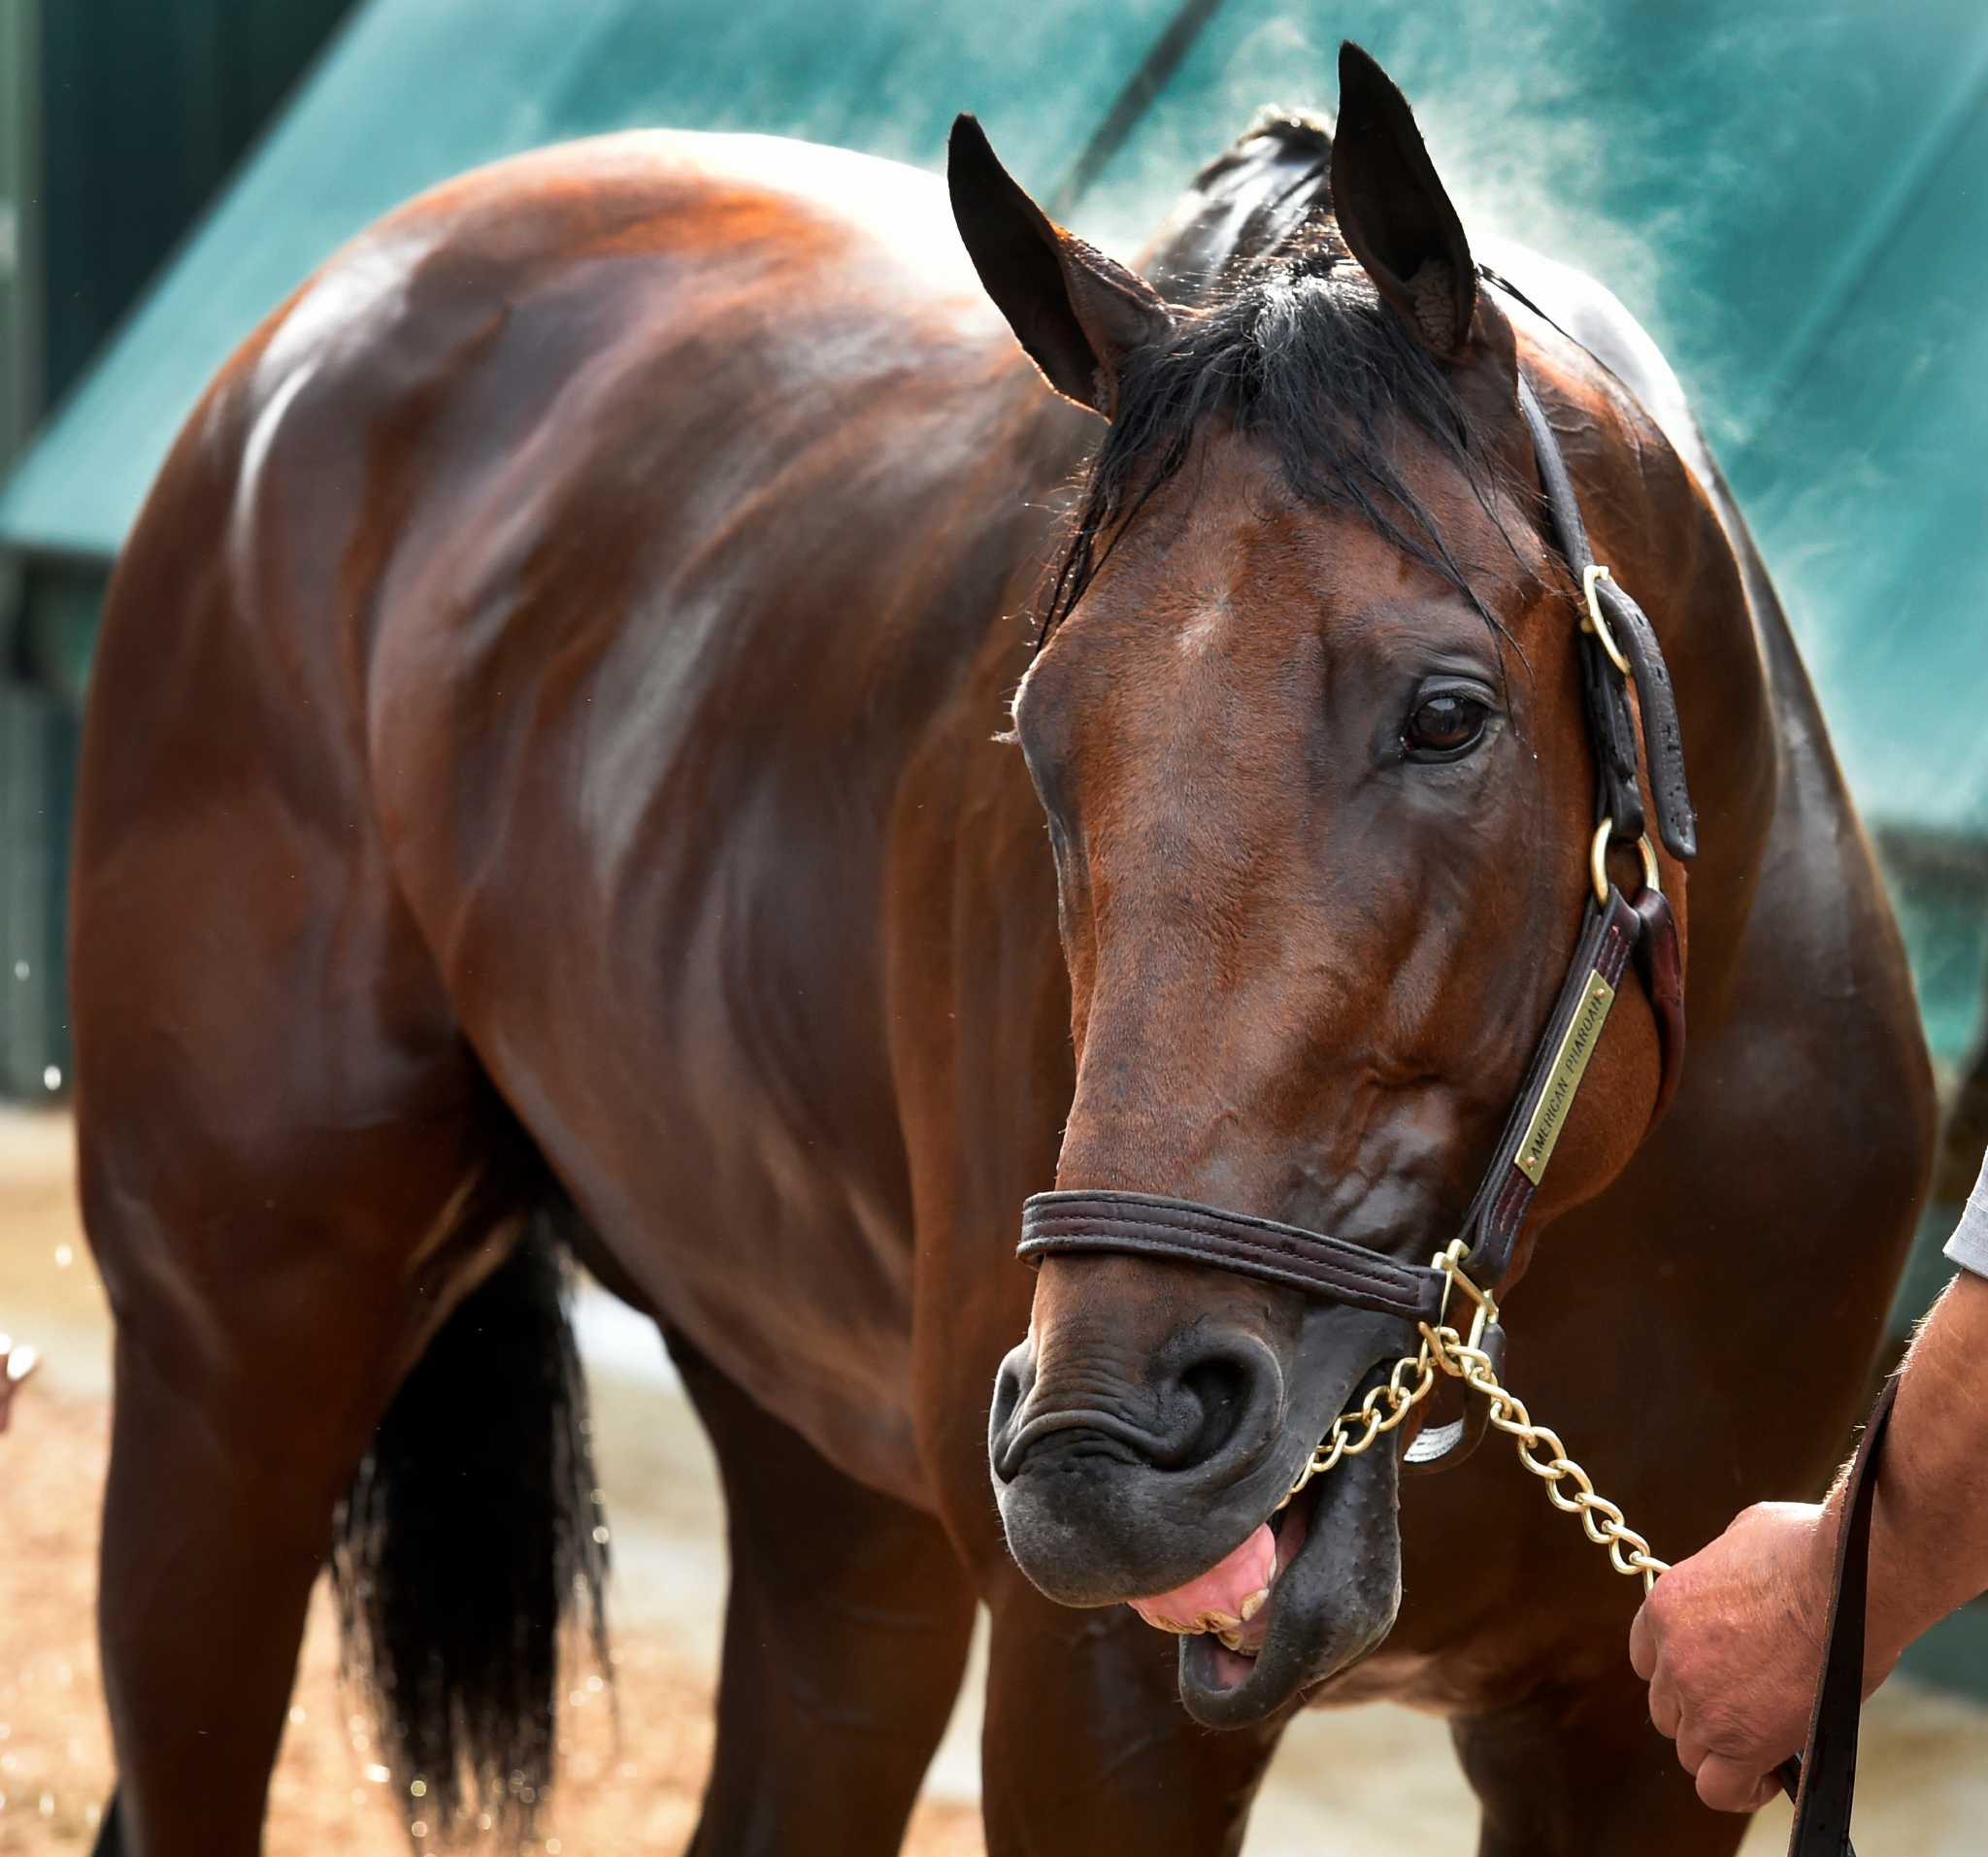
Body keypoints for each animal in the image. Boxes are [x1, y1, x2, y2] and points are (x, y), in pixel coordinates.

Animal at [71, 42, 1931, 1857]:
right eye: (1040, 738)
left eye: (1449, 713)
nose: (1115, 1439)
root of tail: (311, 331)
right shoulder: (1094, 1700)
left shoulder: (1645, 1728)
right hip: (231, 1375)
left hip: (832, 1497)